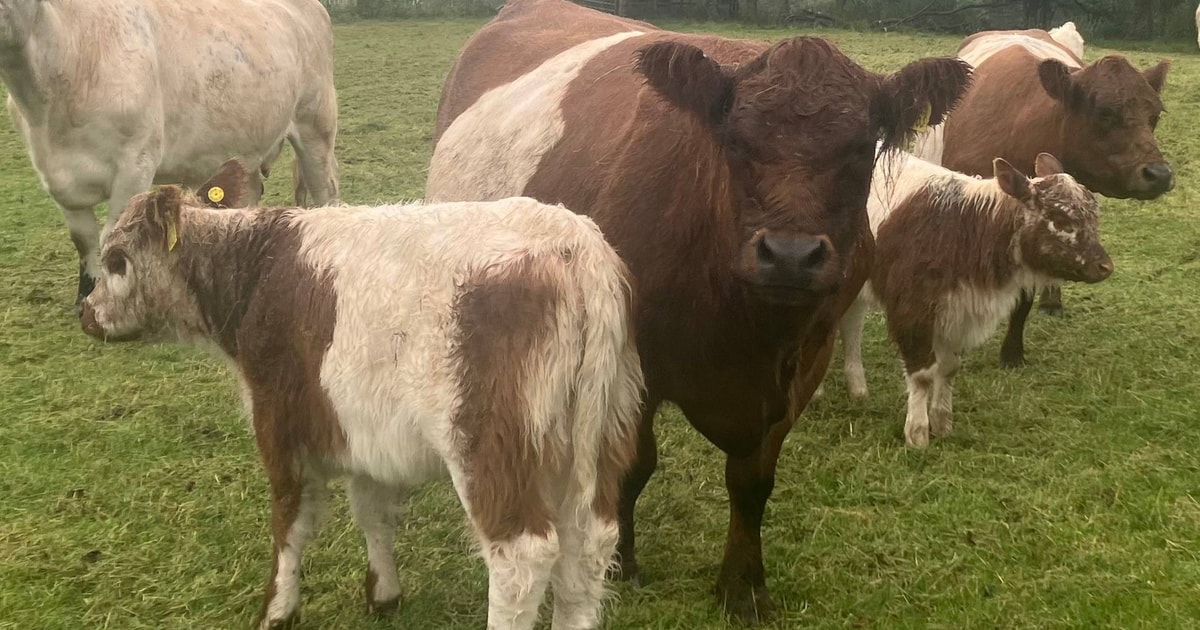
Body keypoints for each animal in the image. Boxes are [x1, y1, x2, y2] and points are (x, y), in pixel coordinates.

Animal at [0, 0, 339, 310]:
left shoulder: (135, 163)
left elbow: (113, 235)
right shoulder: (57, 178)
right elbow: (83, 239)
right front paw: (86, 295)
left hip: (316, 129)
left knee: (326, 192)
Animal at [77, 161, 646, 630]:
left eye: (117, 259)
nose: (85, 313)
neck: (258, 267)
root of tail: (573, 244)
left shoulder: (279, 423)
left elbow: (291, 523)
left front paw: (278, 610)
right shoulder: (365, 435)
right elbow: (373, 512)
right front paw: (384, 593)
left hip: (490, 447)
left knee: (523, 556)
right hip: (601, 436)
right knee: (589, 544)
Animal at [425, 0, 973, 620]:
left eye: (861, 148)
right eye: (734, 142)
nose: (790, 255)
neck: (748, 334)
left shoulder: (805, 364)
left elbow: (752, 482)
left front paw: (743, 585)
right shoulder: (633, 362)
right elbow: (635, 466)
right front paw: (623, 562)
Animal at [837, 150, 1112, 447]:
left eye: (1094, 217)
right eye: (1060, 221)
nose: (1105, 266)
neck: (963, 228)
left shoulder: (959, 314)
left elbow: (949, 368)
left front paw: (942, 422)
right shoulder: (912, 313)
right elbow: (922, 375)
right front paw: (918, 433)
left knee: (850, 325)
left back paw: (857, 389)